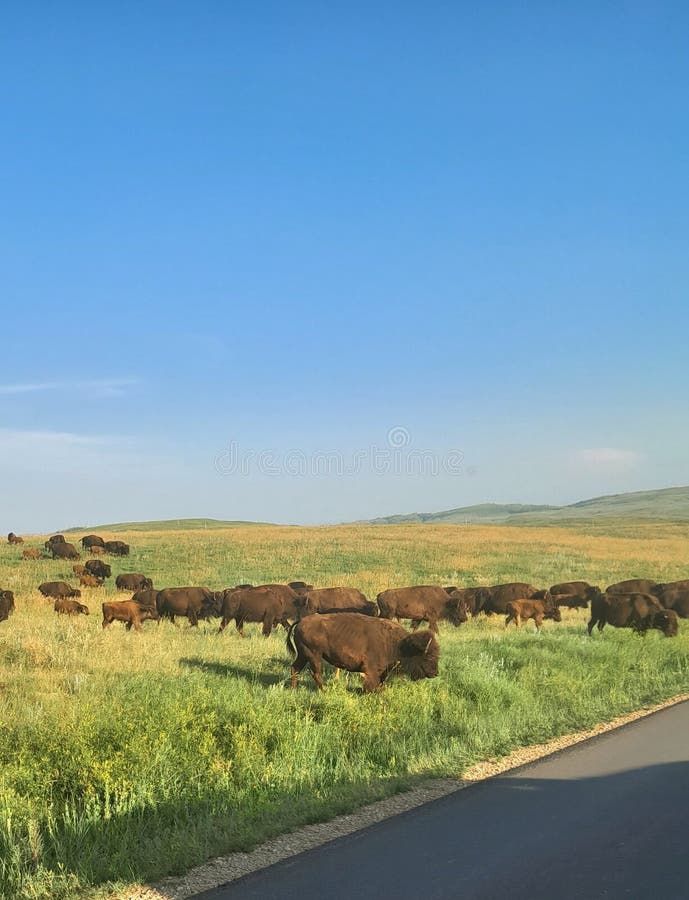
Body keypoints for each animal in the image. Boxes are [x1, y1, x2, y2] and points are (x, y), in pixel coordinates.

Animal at [287, 612, 440, 693]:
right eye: (428, 657)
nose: (435, 673)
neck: (401, 645)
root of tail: (301, 621)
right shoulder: (371, 670)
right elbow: (373, 684)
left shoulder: (383, 671)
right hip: (314, 655)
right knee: (315, 672)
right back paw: (325, 690)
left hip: (303, 655)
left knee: (295, 668)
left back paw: (294, 689)